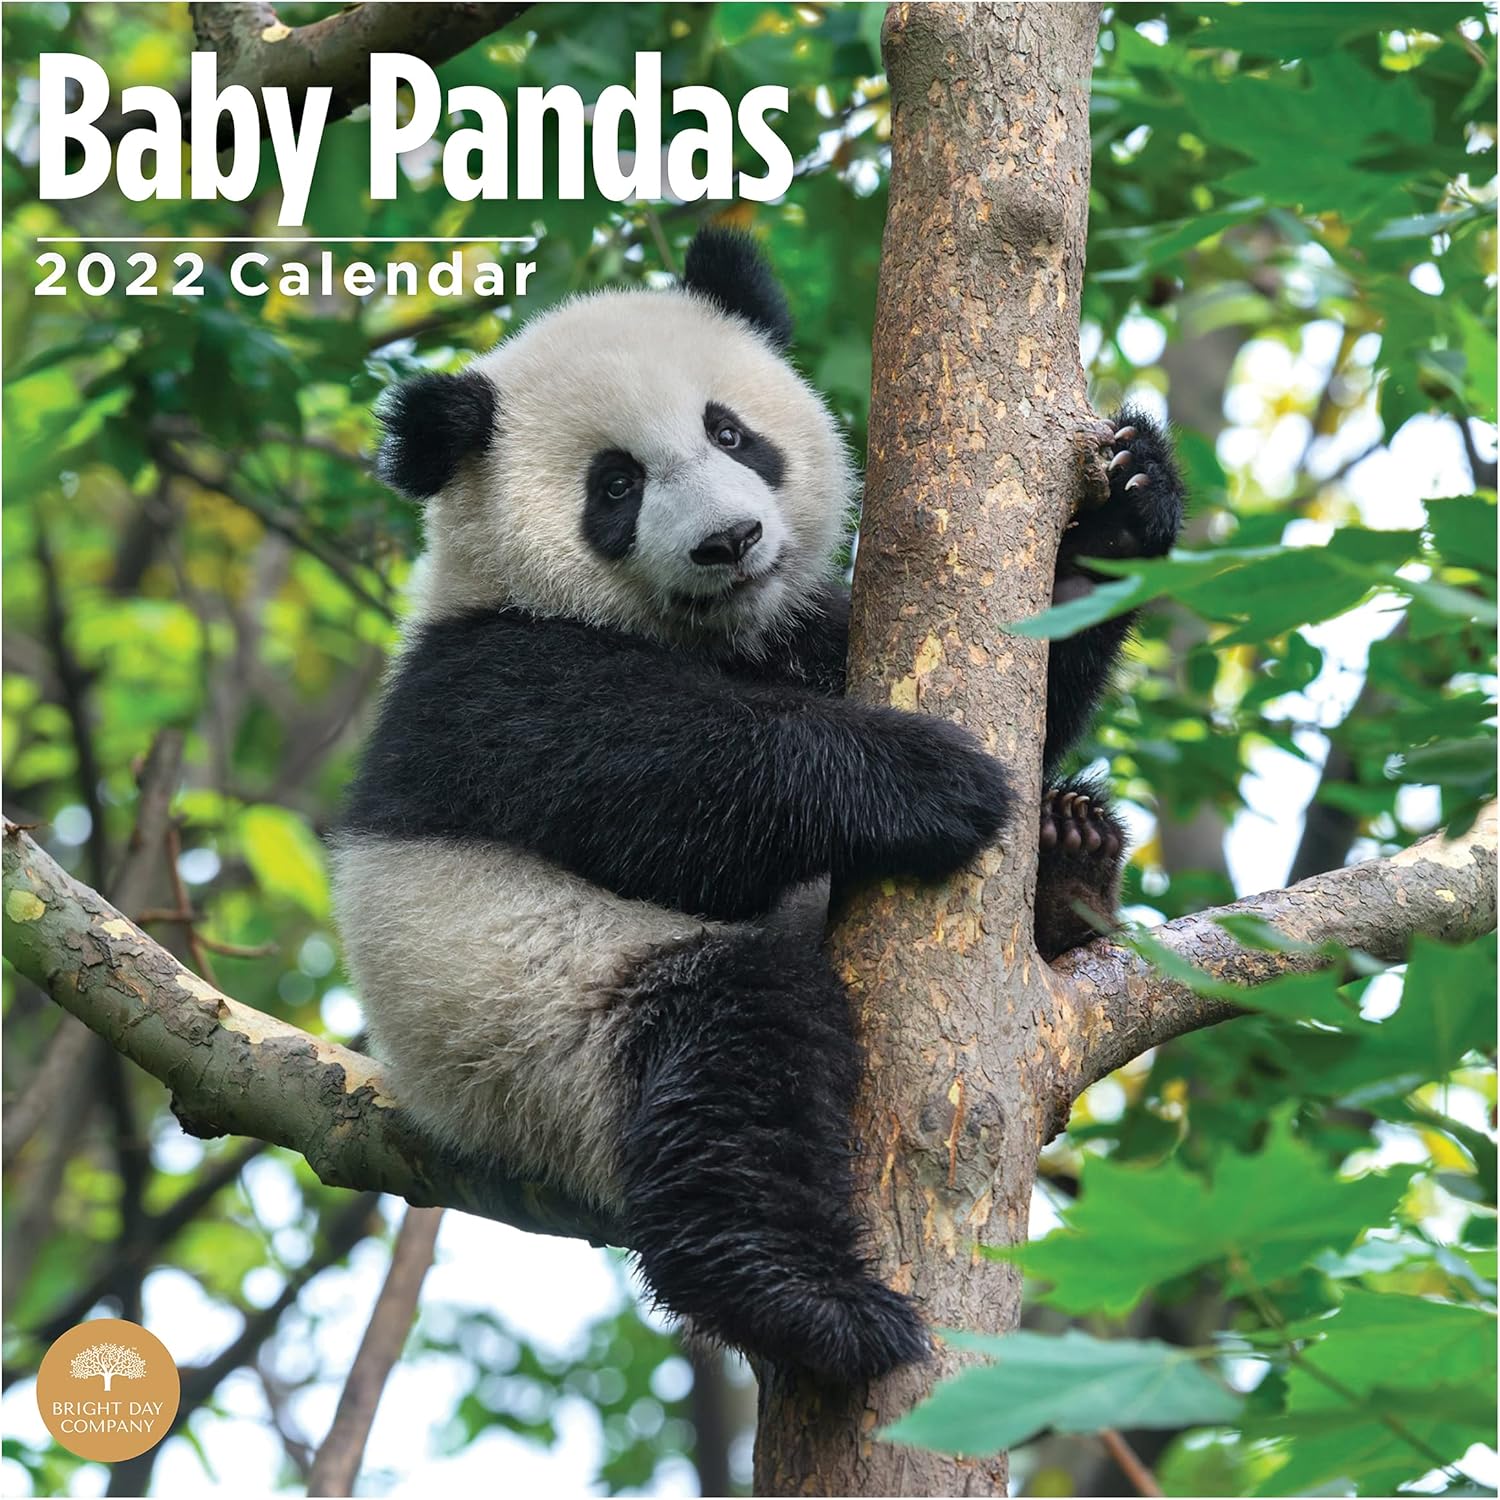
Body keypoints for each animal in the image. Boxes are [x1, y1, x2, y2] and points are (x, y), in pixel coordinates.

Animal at [332, 229, 1184, 1384]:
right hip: (539, 1033)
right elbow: (662, 783)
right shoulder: (484, 685)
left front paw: (1129, 502)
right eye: (616, 485)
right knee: (731, 1059)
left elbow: (1036, 669)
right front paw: (928, 780)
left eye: (730, 431)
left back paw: (1070, 861)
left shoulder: (805, 631)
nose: (728, 541)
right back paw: (807, 1301)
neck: (709, 634)